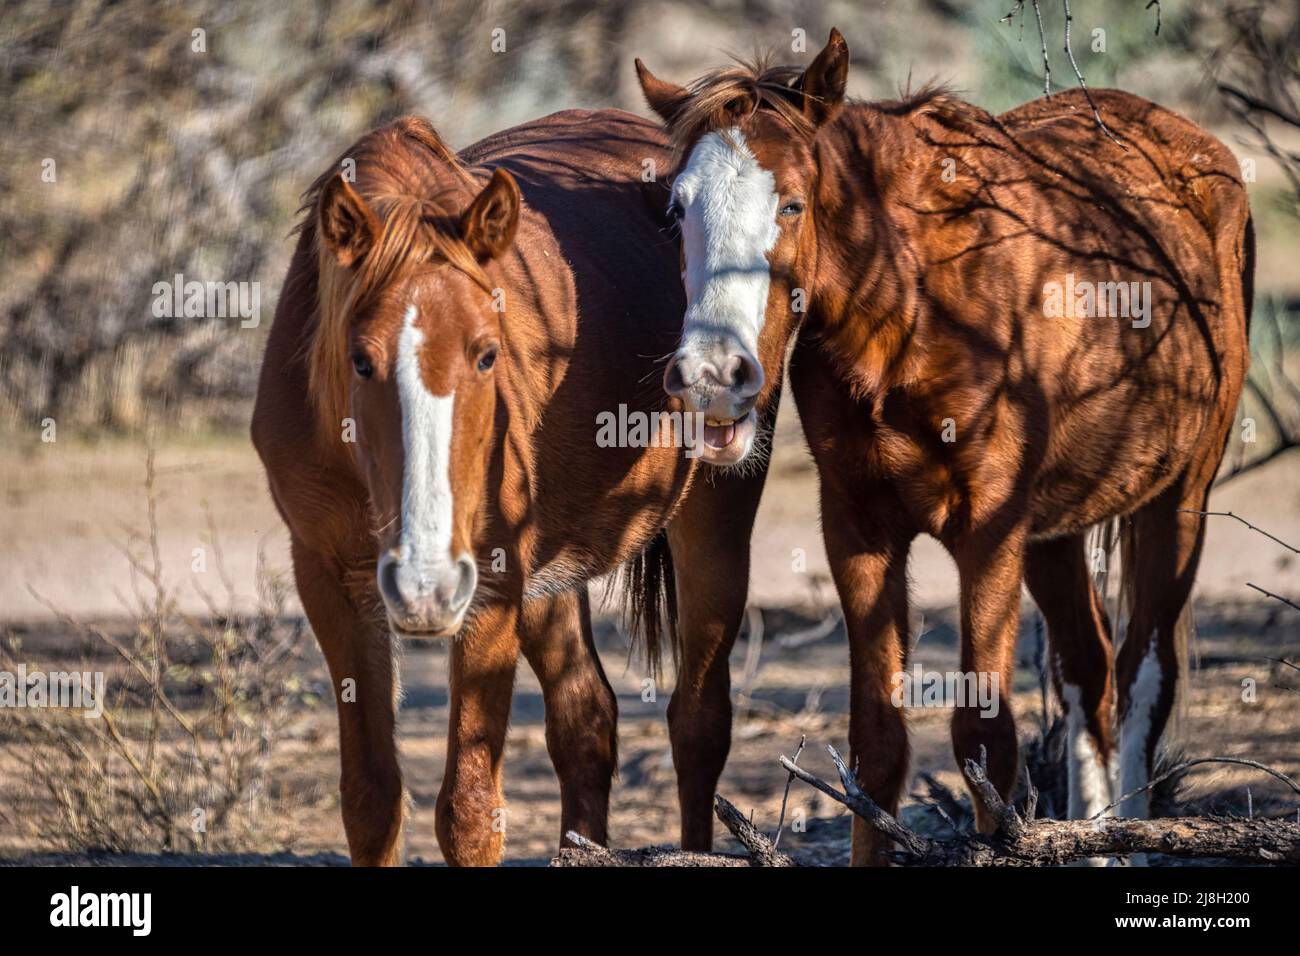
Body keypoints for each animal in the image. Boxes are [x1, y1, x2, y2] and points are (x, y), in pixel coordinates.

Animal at [250, 109, 786, 865]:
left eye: (487, 355)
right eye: (360, 360)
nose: (425, 582)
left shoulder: (492, 587)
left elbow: (470, 812)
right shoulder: (331, 581)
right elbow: (371, 801)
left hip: (715, 511)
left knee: (698, 723)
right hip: (549, 578)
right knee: (586, 719)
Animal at [635, 28, 1253, 865]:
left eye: (791, 202)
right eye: (678, 208)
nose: (709, 376)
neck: (917, 305)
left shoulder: (988, 534)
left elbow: (984, 741)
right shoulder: (861, 532)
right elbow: (878, 746)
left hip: (1178, 499)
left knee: (1143, 679)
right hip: (1054, 533)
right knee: (1089, 673)